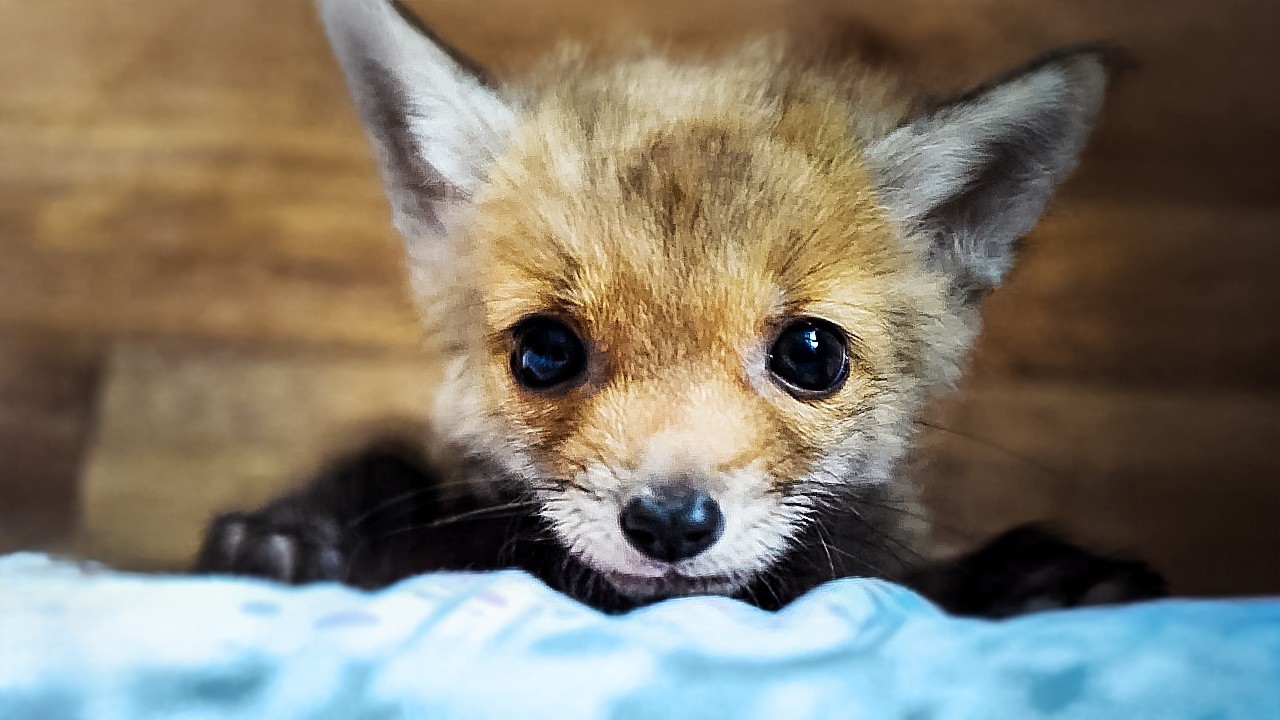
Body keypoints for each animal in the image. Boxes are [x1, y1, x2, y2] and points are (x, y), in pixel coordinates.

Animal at [196, 0, 1165, 616]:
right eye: (544, 351)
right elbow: (388, 477)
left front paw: (1049, 583)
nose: (669, 524)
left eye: (810, 355)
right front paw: (298, 538)